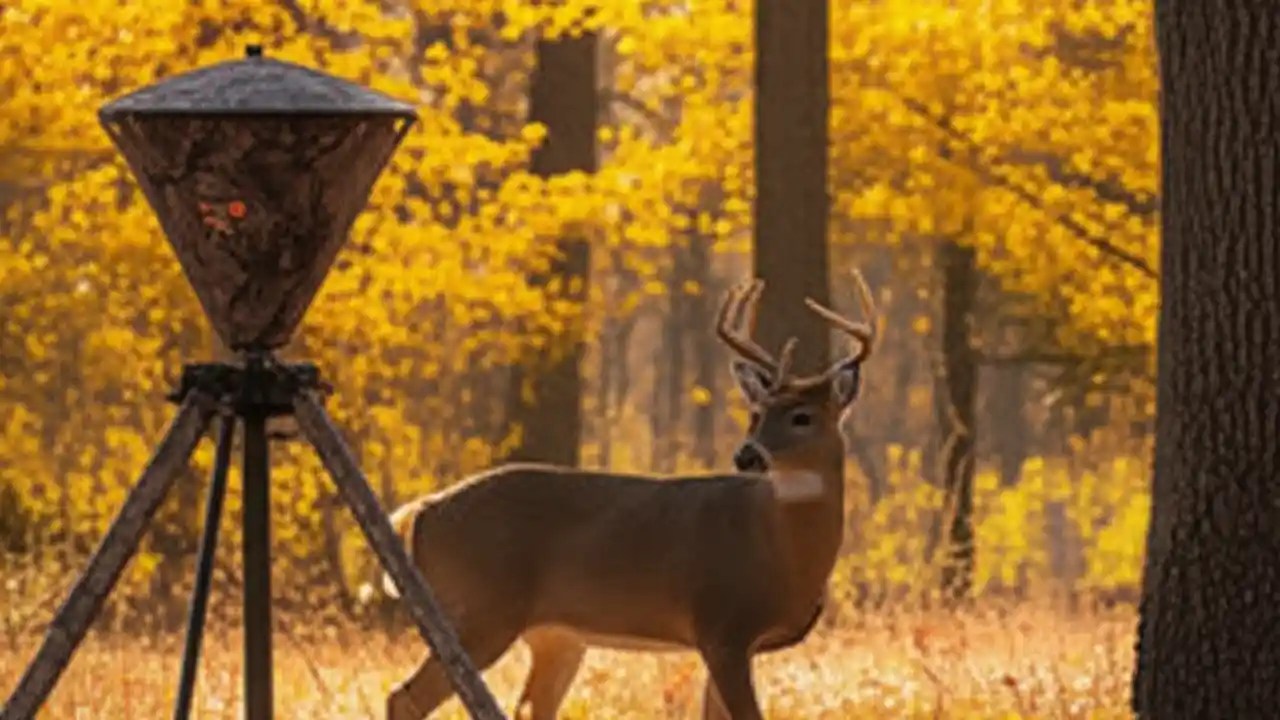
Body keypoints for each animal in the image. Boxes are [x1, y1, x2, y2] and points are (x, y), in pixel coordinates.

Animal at [380, 269, 878, 720]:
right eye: (757, 413)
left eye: (802, 416)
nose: (746, 455)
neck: (780, 555)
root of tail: (422, 511)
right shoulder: (721, 625)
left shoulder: (736, 643)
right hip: (480, 608)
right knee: (404, 697)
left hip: (554, 635)